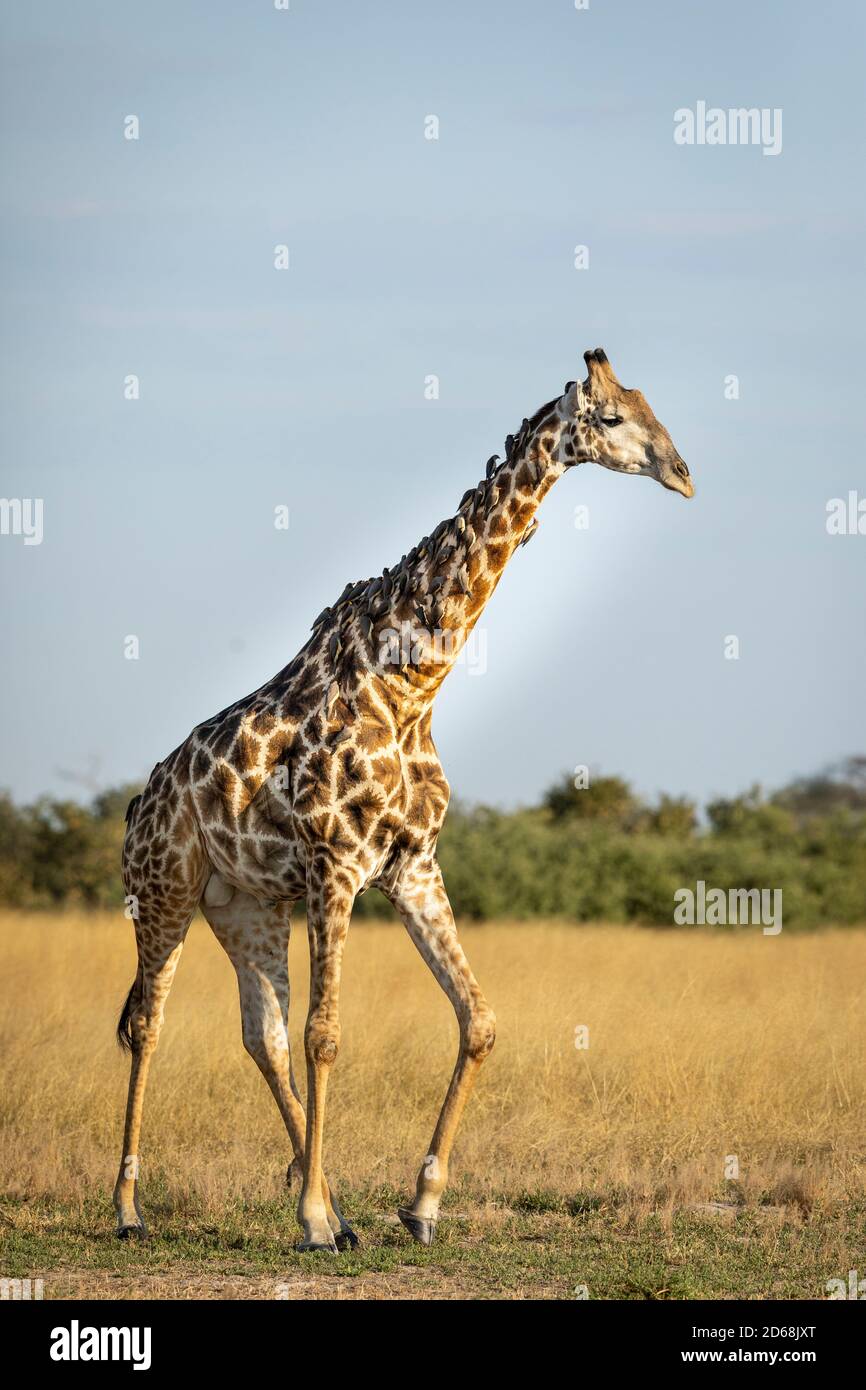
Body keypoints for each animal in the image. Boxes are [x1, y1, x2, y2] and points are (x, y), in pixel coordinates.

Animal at [115, 348, 694, 1252]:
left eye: (649, 406)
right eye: (609, 416)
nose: (682, 472)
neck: (413, 684)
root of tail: (140, 804)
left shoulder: (412, 865)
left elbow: (478, 1019)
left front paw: (417, 1205)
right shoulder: (337, 867)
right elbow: (327, 1036)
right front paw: (313, 1221)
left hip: (244, 905)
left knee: (260, 1036)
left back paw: (337, 1205)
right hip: (165, 891)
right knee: (151, 1022)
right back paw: (132, 1208)